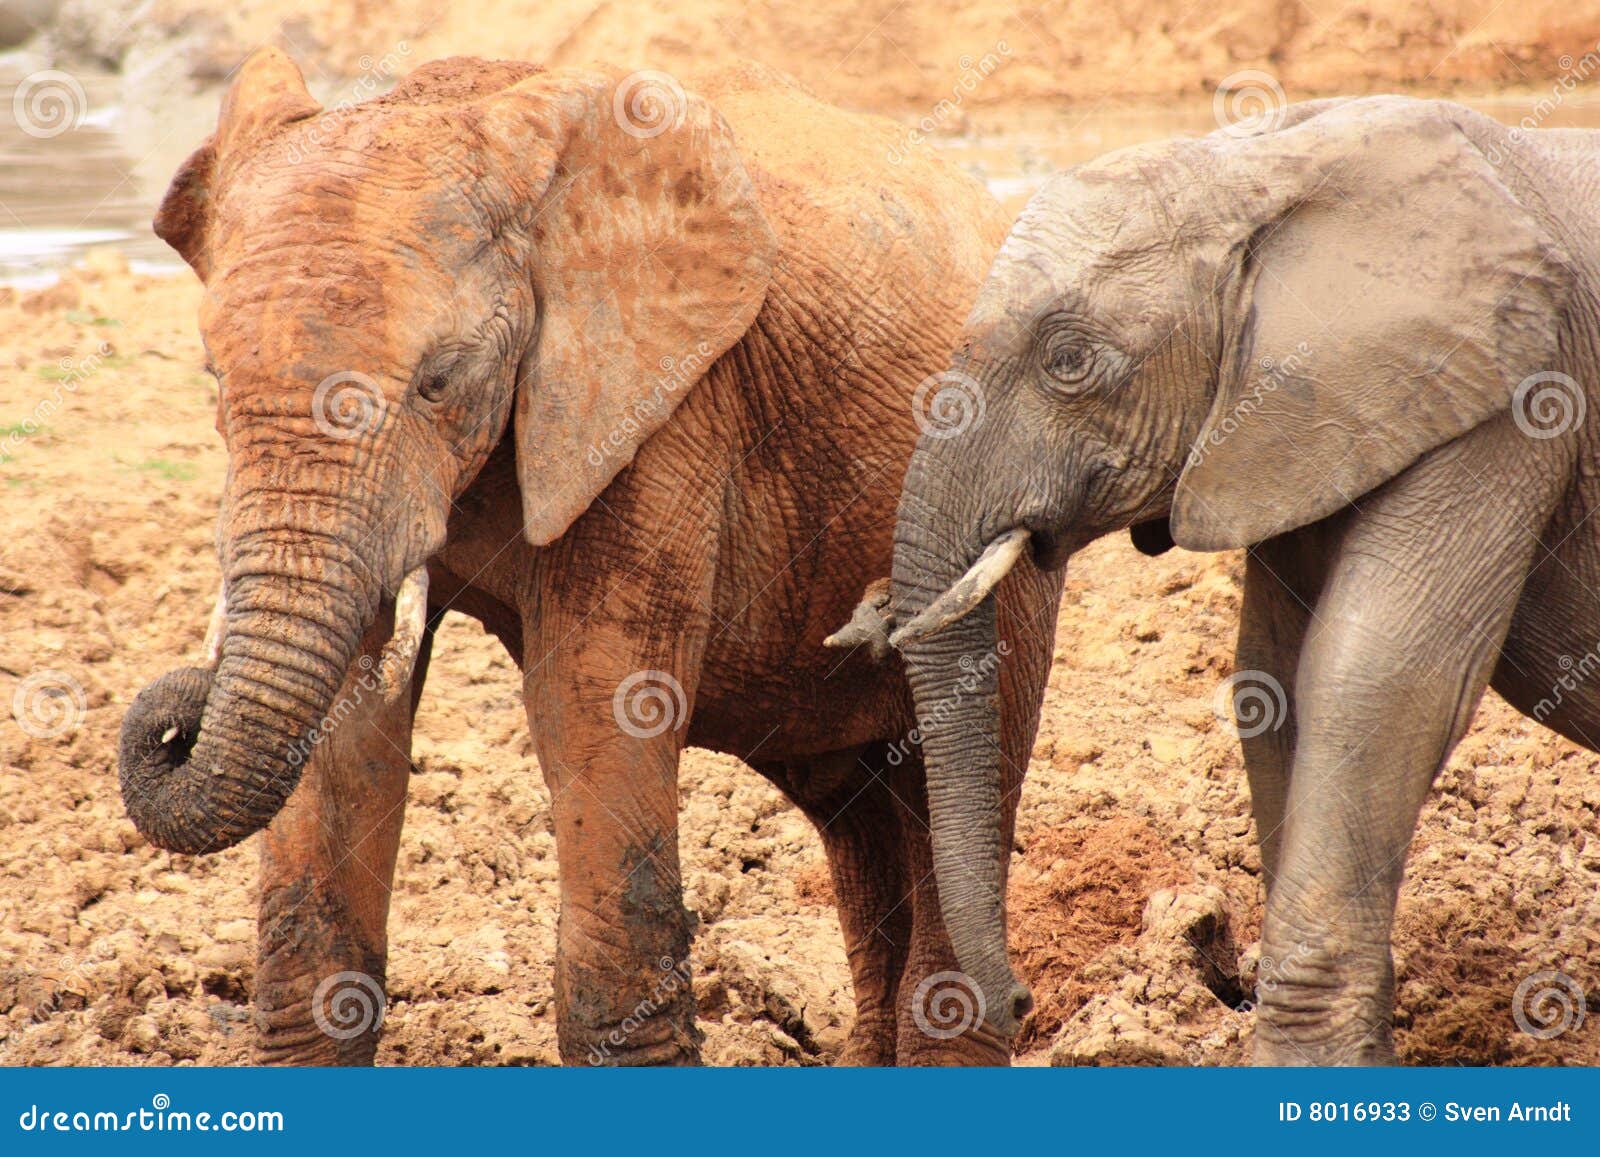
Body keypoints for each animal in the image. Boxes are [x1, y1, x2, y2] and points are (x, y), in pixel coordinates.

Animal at [114, 49, 1062, 1066]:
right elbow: (348, 728)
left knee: (959, 774)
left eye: (440, 380)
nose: (176, 717)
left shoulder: (660, 402)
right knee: (863, 809)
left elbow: (593, 695)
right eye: (213, 378)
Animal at [860, 95, 1600, 1064]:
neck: (1261, 167)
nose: (1021, 1000)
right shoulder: (1304, 420)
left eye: (1069, 360)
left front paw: (1306, 1065)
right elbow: (1271, 677)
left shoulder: (1516, 390)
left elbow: (1375, 677)